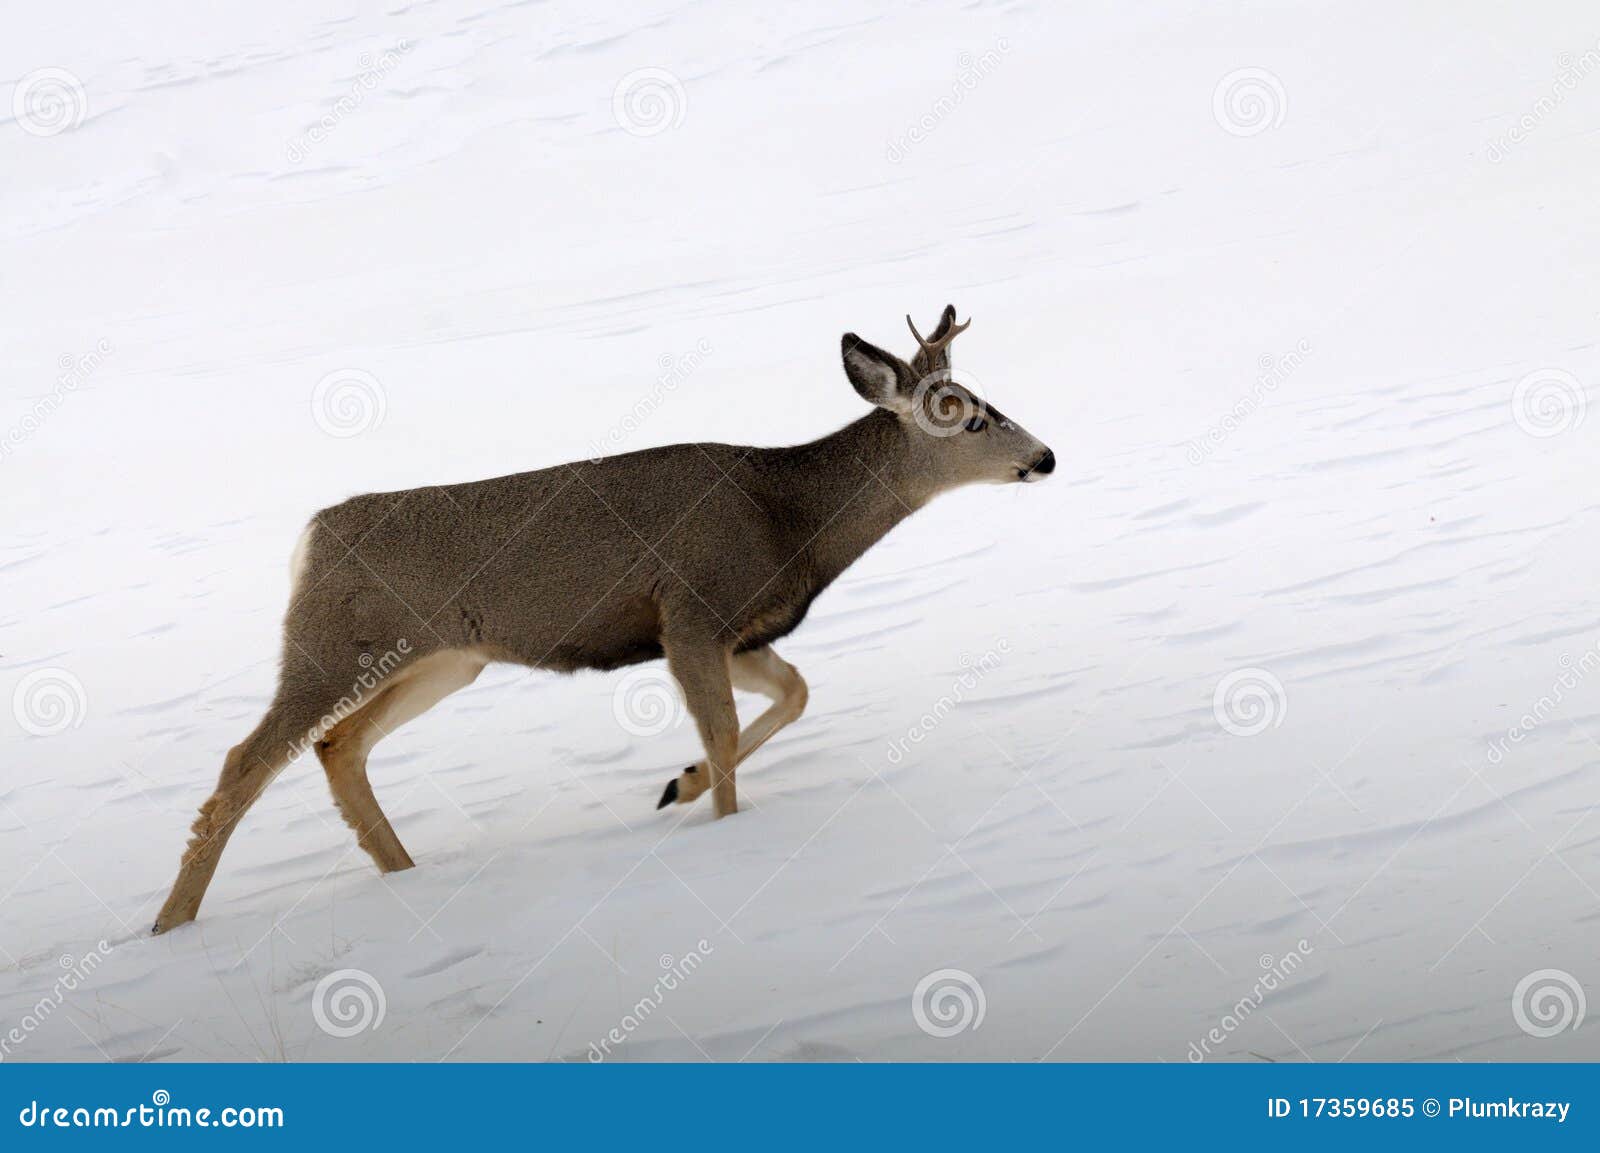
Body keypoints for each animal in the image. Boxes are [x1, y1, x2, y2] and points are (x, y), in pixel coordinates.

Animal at [152, 306, 1054, 933]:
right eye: (968, 414)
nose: (1044, 456)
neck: (786, 522)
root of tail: (309, 540)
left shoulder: (733, 630)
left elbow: (793, 693)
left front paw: (678, 784)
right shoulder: (689, 611)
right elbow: (725, 731)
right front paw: (724, 824)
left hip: (443, 658)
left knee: (341, 746)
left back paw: (402, 870)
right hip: (332, 646)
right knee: (244, 762)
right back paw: (172, 923)